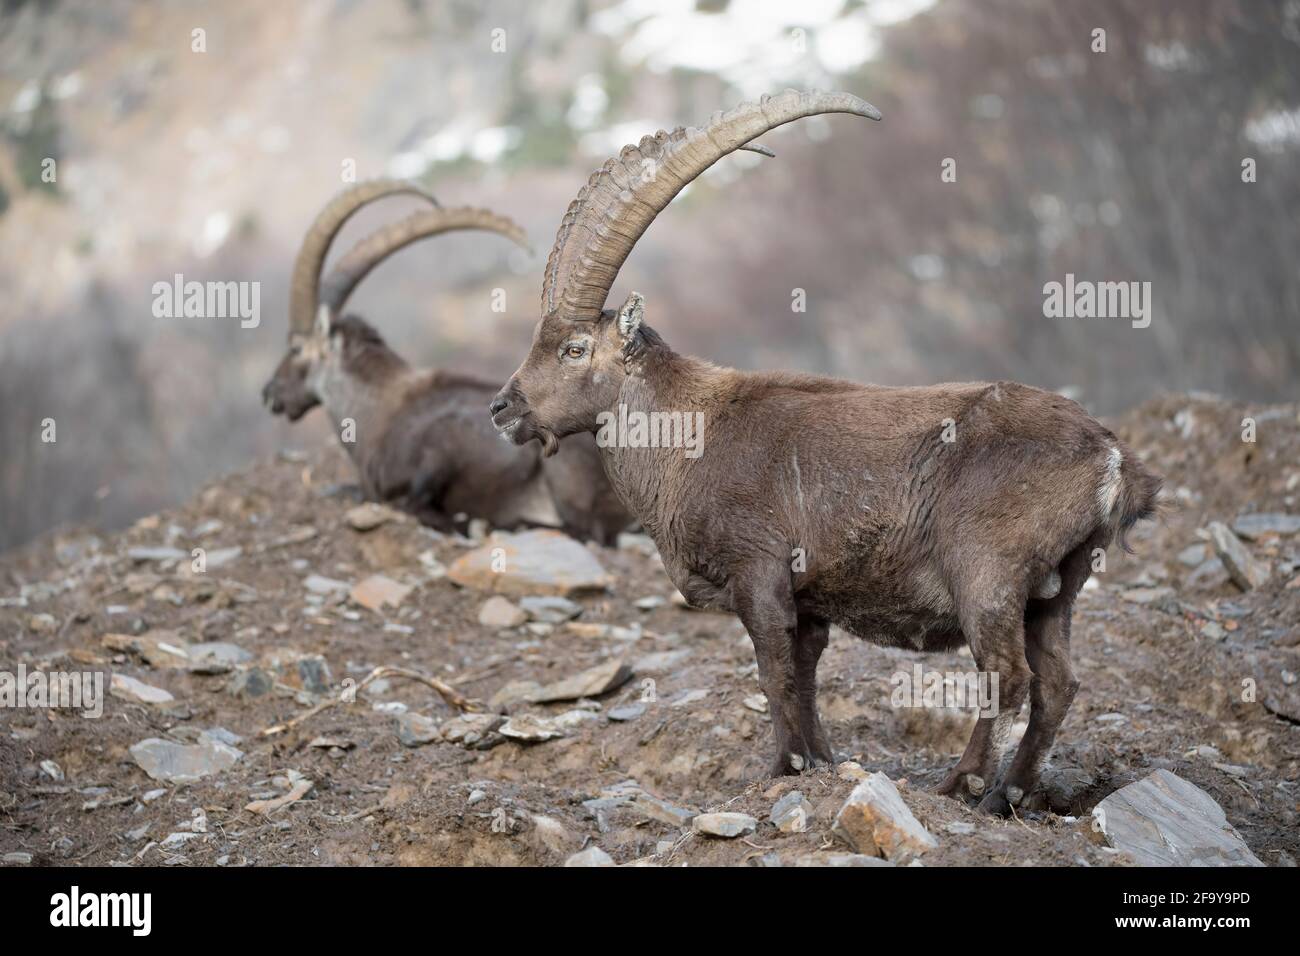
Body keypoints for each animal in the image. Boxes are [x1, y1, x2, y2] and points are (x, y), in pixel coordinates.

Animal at [263, 181, 630, 544]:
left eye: (295, 348)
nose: (270, 393)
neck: (376, 408)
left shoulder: (439, 451)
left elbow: (409, 500)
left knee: (587, 531)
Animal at [490, 91, 1162, 814]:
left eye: (574, 349)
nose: (502, 408)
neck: (686, 434)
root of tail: (1111, 460)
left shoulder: (759, 573)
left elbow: (774, 675)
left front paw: (782, 767)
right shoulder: (809, 603)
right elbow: (805, 677)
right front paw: (819, 761)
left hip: (987, 574)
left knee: (1005, 676)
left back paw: (965, 785)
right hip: (1057, 589)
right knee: (1058, 683)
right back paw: (1015, 793)